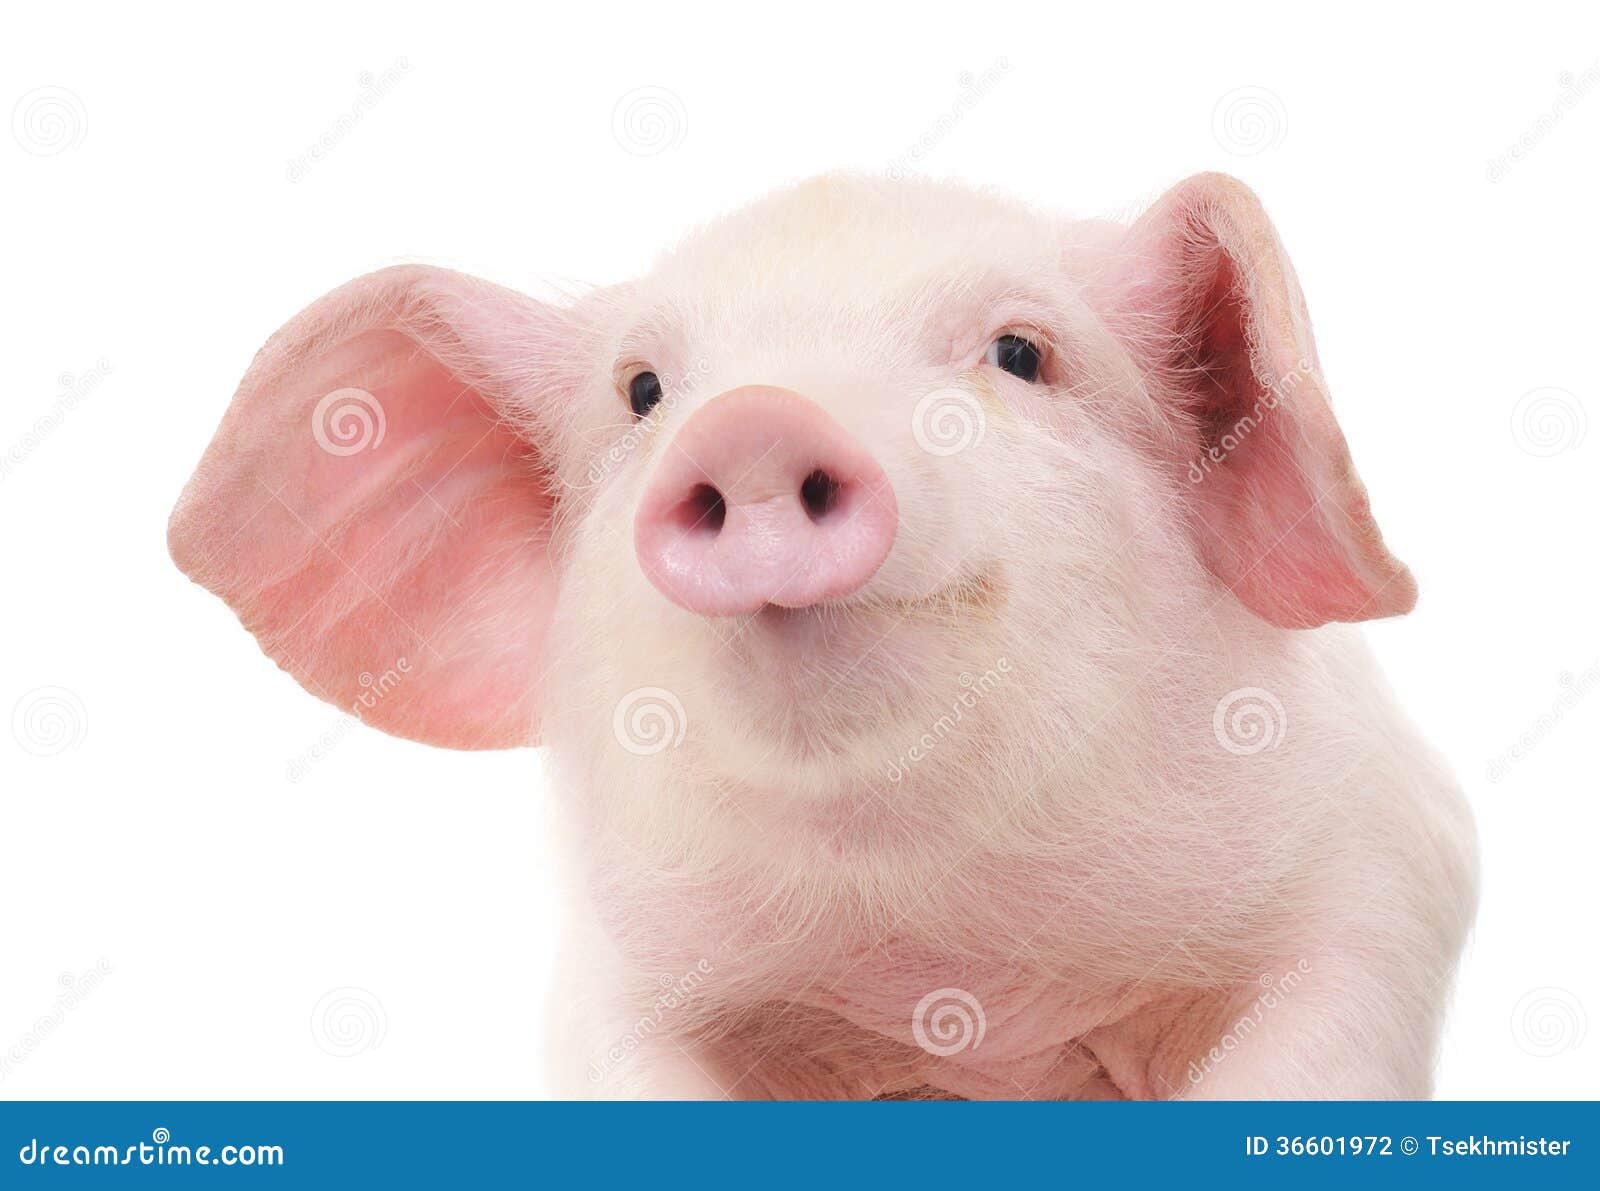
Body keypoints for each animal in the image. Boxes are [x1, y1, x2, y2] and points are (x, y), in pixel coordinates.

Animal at [168, 172, 1477, 1099]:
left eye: (1020, 354)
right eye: (642, 392)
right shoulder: (619, 985)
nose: (754, 419)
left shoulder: (1381, 890)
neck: (949, 979)